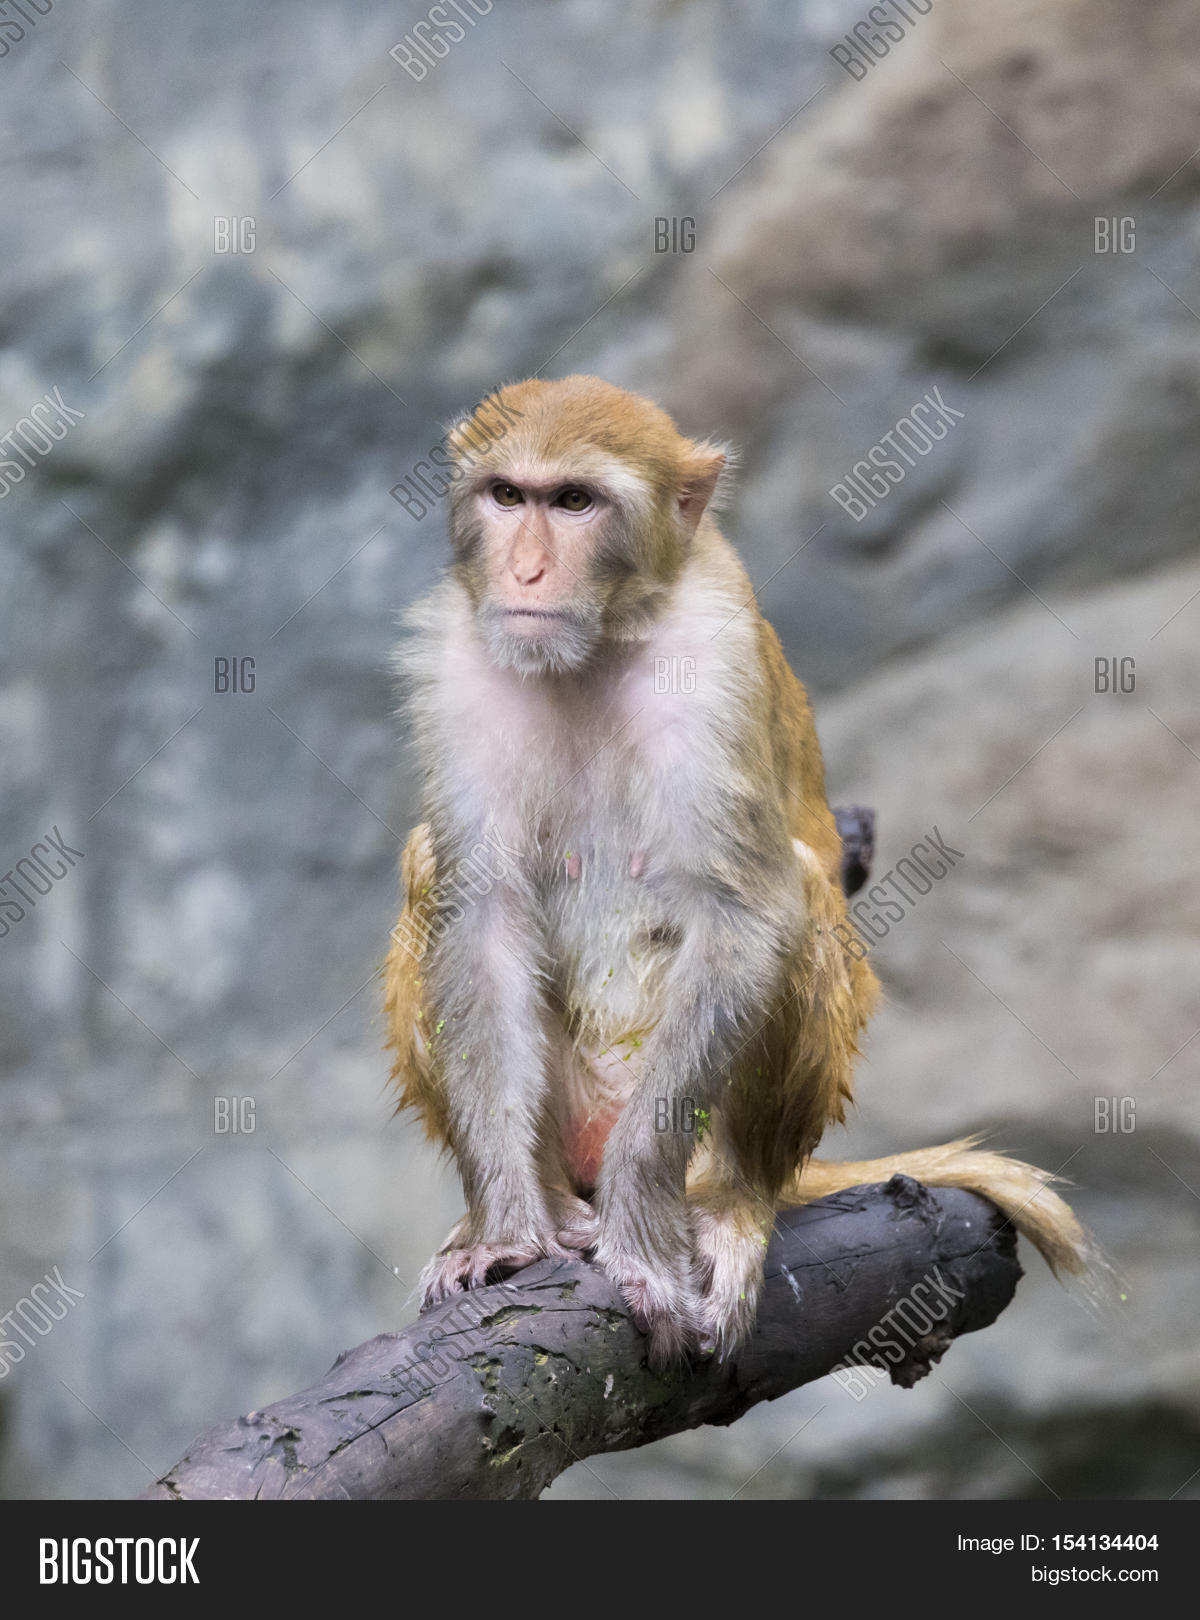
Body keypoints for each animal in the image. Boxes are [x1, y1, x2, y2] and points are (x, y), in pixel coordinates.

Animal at [382, 374, 1101, 1364]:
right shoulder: (459, 663)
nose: (524, 572)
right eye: (506, 495)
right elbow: (479, 913)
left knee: (794, 883)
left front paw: (642, 1240)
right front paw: (508, 1230)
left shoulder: (715, 660)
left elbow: (745, 911)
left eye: (574, 502)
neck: (601, 644)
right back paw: (554, 1202)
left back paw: (729, 1201)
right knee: (428, 867)